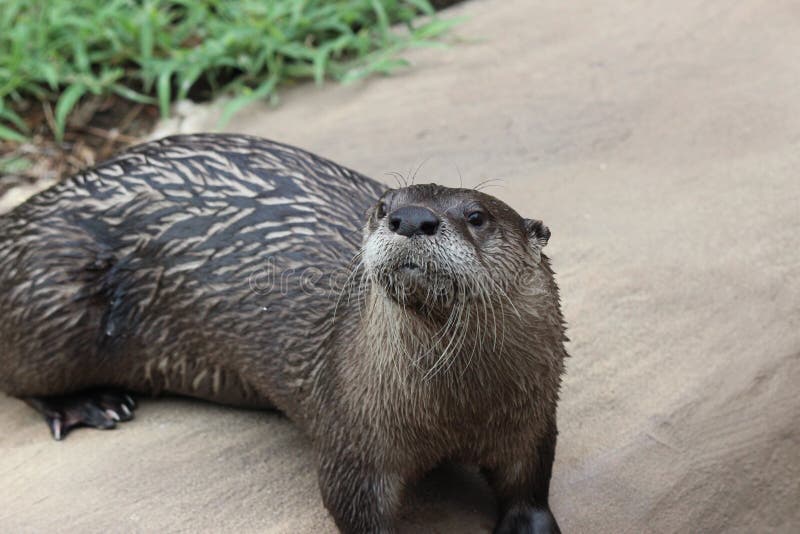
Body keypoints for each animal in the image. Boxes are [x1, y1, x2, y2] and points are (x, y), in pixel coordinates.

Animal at [0, 134, 566, 534]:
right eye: (383, 205)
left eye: (477, 216)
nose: (411, 217)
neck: (456, 410)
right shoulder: (350, 438)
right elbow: (351, 505)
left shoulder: (534, 418)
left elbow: (529, 482)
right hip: (52, 300)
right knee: (22, 378)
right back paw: (91, 405)